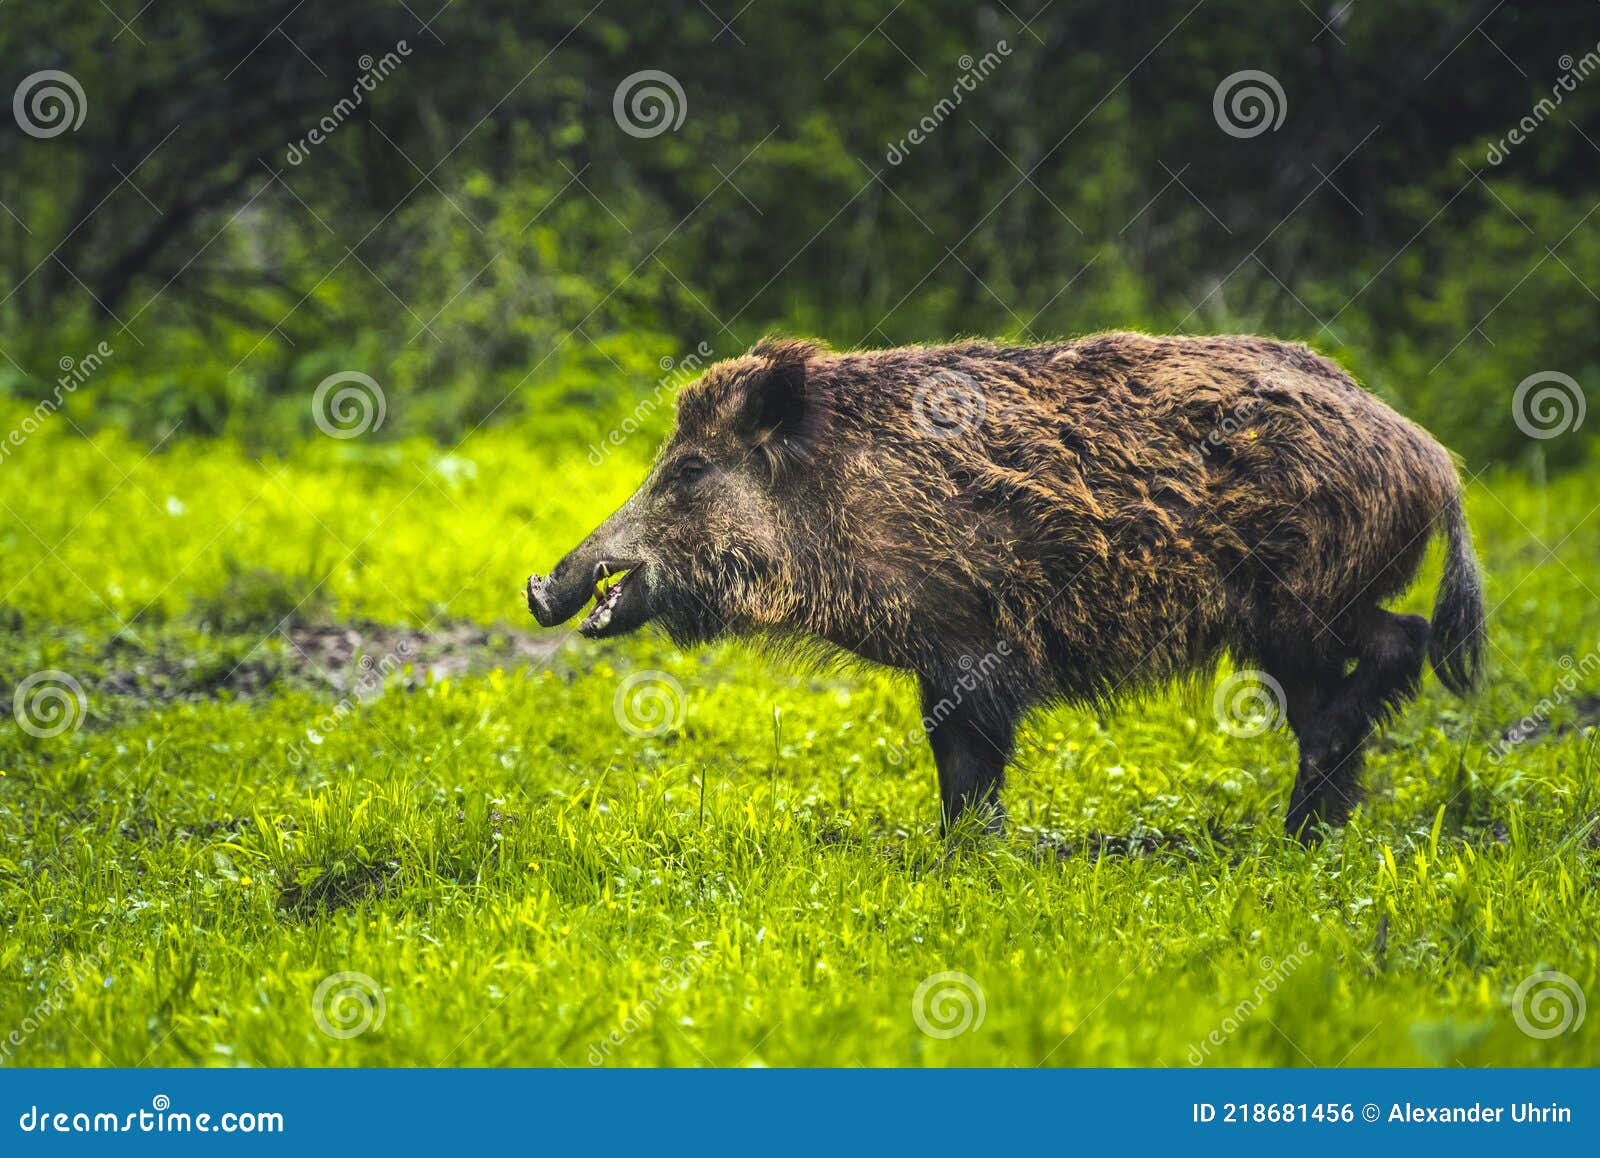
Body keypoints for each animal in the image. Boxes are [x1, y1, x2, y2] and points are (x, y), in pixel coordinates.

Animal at [527, 333, 1484, 840]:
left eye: (688, 468)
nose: (541, 588)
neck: (836, 499)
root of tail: (1433, 459)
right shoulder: (937, 655)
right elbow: (954, 762)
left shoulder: (971, 644)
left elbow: (969, 764)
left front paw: (961, 859)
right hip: (1297, 618)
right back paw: (1304, 835)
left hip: (1301, 604)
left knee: (1399, 648)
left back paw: (1296, 830)